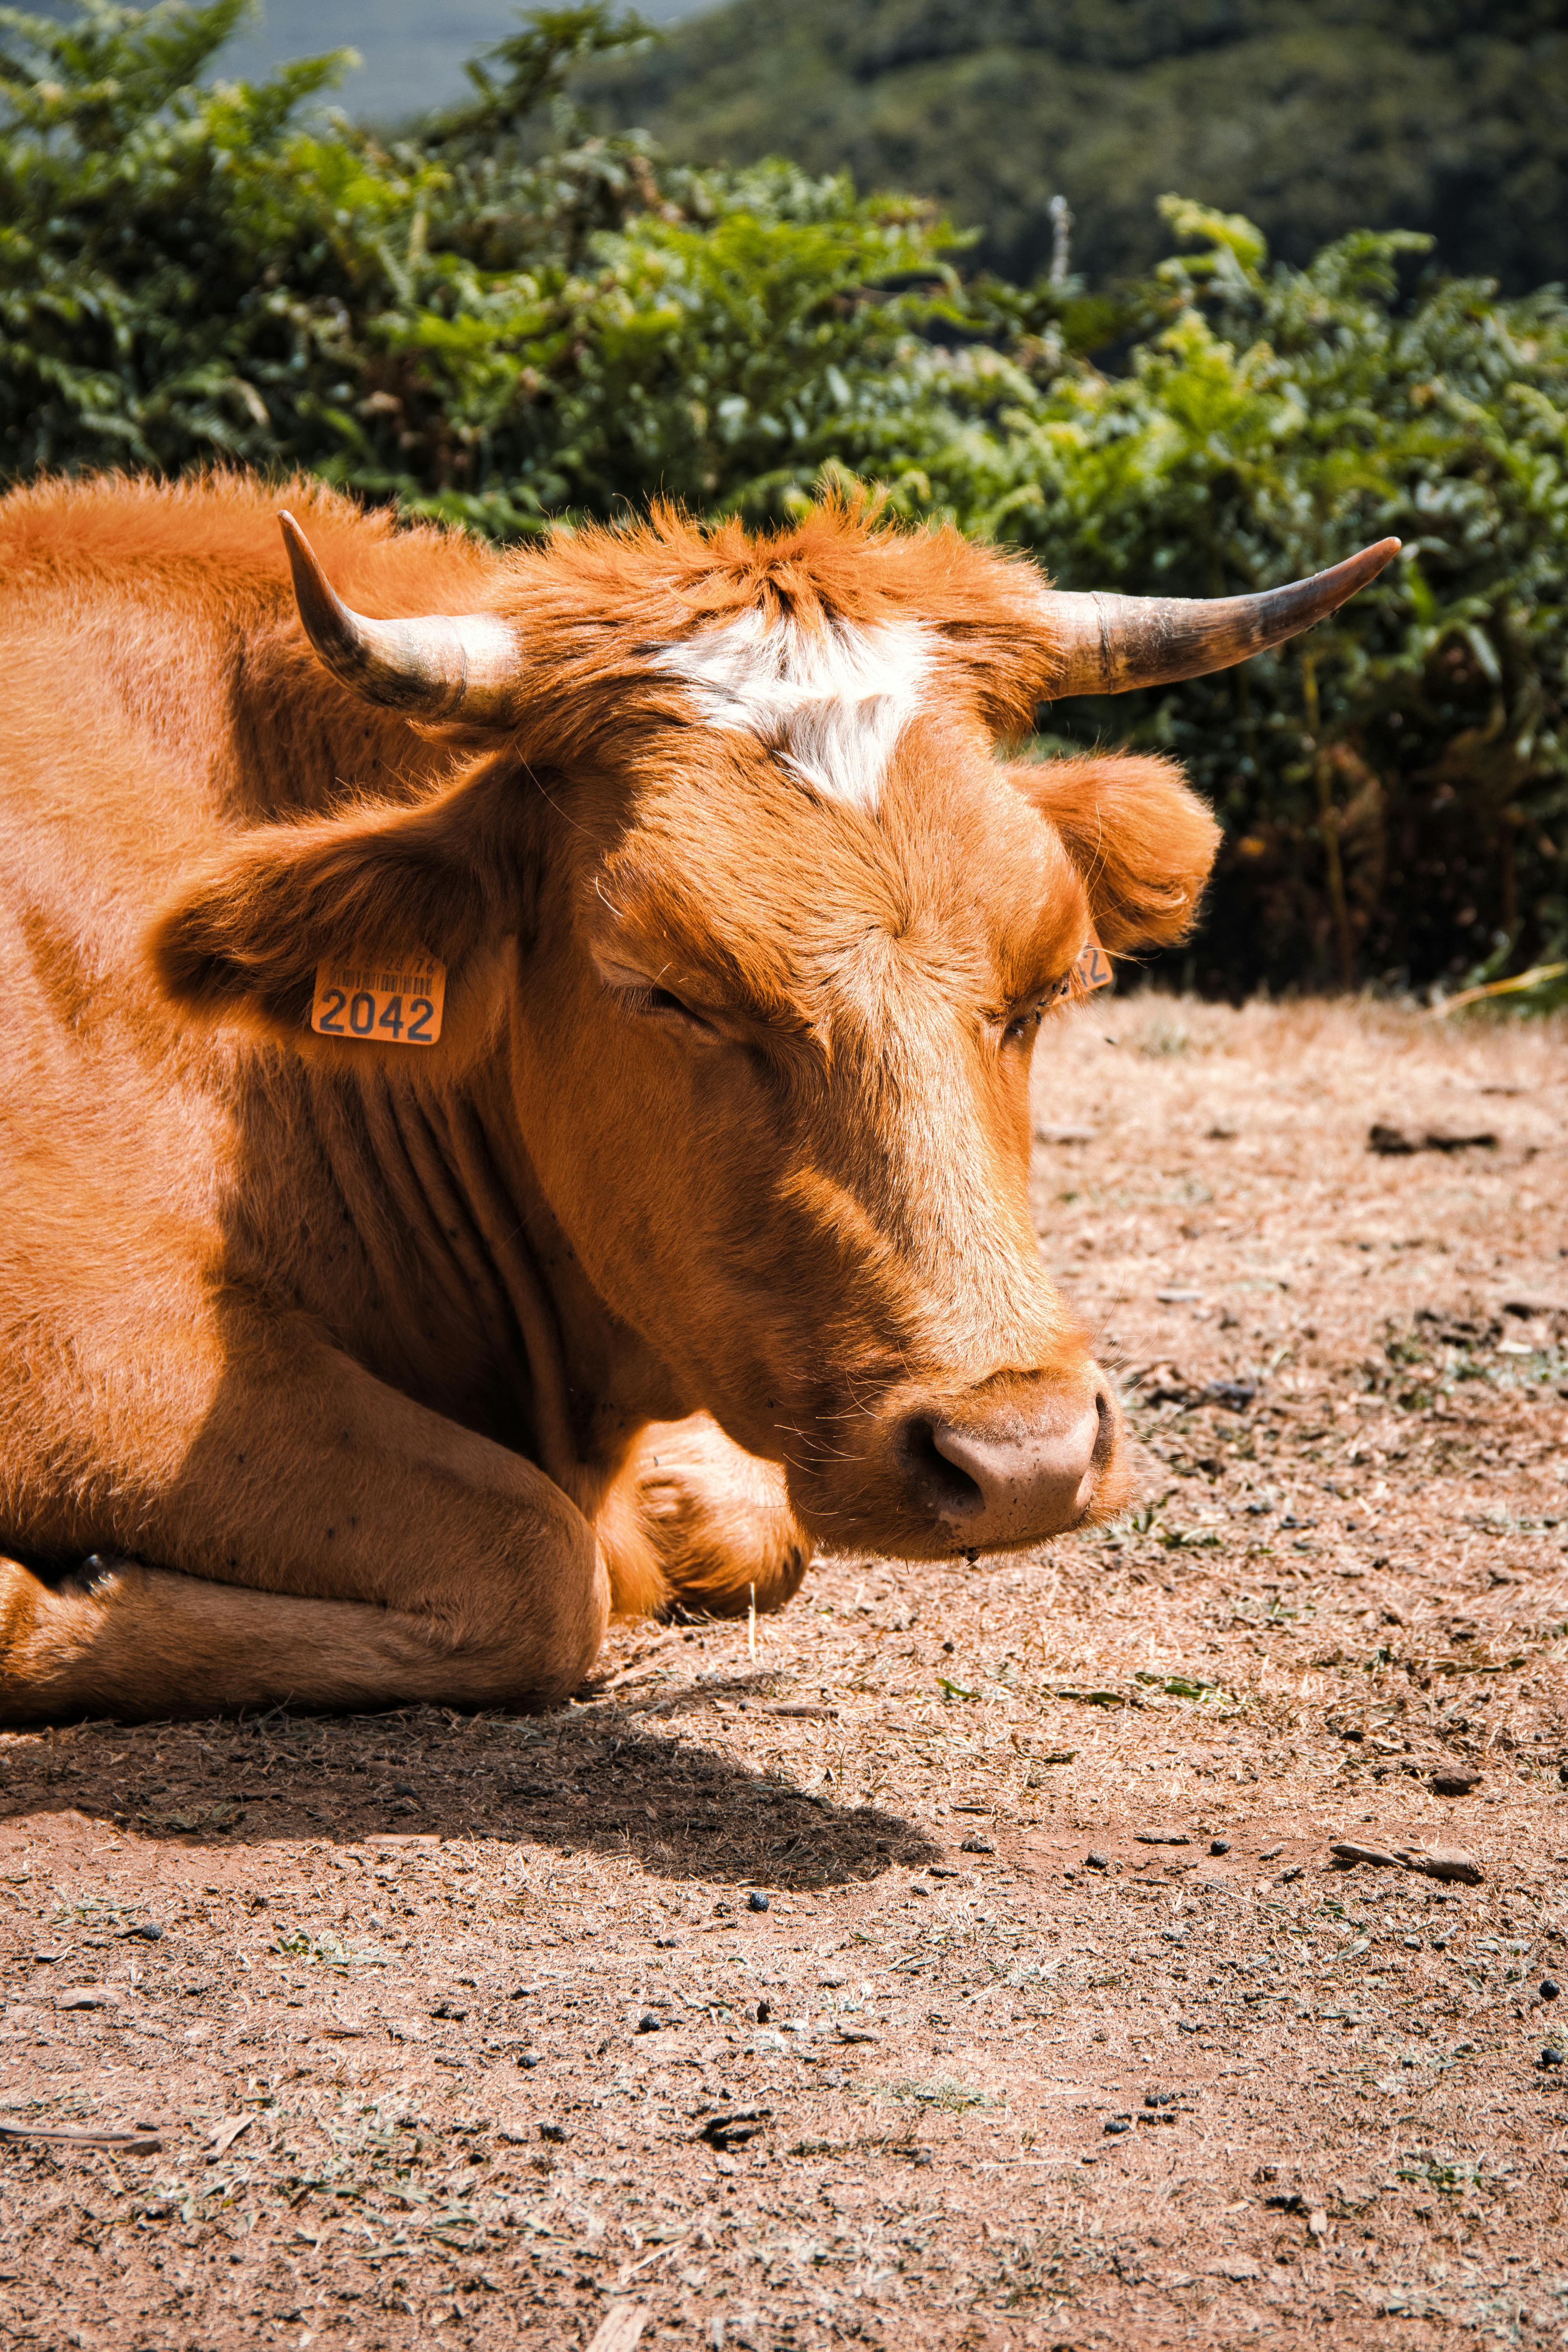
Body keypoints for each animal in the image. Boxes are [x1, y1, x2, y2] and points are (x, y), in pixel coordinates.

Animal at [0, 474, 1395, 1721]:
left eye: (1050, 980)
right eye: (662, 984)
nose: (1024, 1460)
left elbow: (735, 1525)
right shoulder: (75, 1337)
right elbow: (538, 1562)